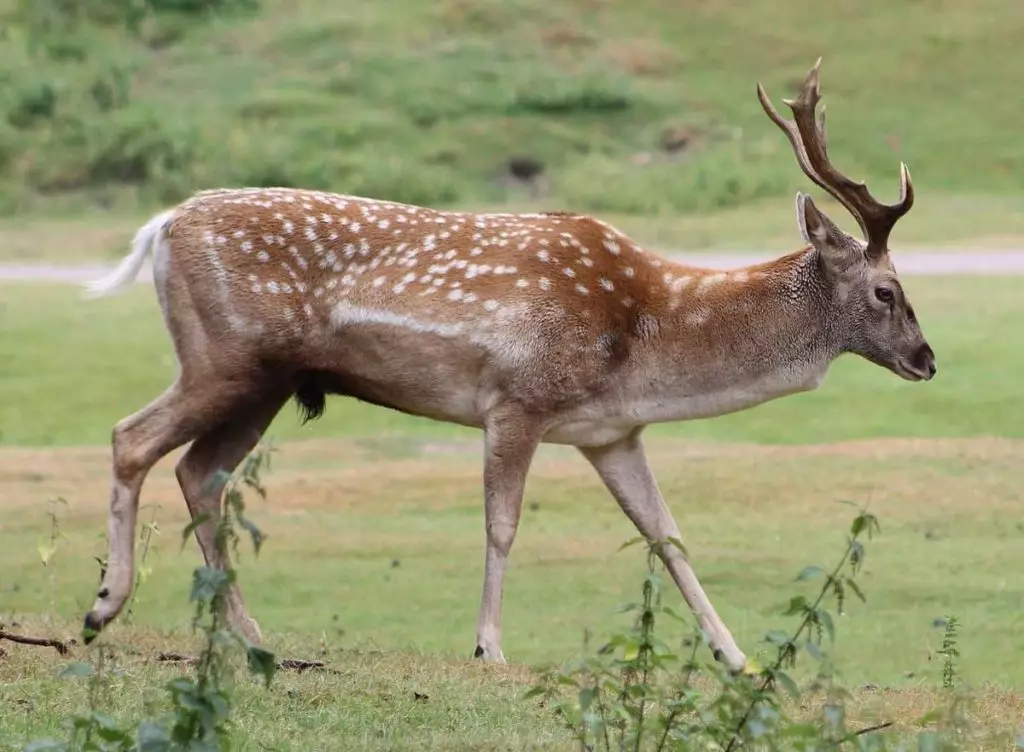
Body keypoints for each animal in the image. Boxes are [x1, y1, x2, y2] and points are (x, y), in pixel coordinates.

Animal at [79, 55, 937, 676]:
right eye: (888, 290)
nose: (928, 360)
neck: (648, 344)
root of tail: (161, 225)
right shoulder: (516, 400)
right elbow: (502, 525)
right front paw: (489, 646)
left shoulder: (610, 432)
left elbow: (667, 534)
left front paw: (736, 655)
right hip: (224, 356)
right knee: (131, 438)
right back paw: (103, 605)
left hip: (267, 381)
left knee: (199, 474)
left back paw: (251, 637)